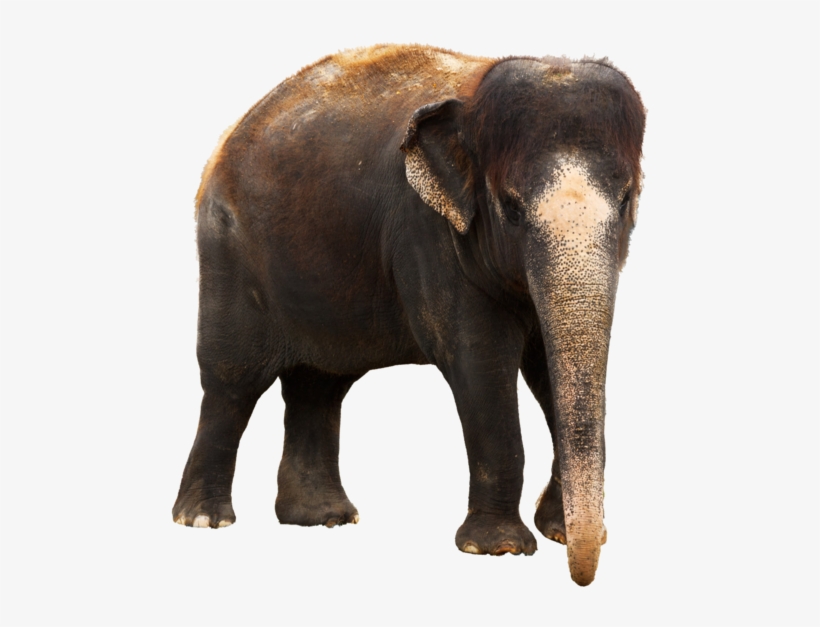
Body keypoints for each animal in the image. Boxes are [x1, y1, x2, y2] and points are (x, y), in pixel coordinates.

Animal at [173, 44, 646, 586]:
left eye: (626, 201)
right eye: (510, 208)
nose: (582, 575)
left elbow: (548, 369)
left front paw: (558, 533)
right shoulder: (428, 233)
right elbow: (479, 364)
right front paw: (499, 549)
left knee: (319, 385)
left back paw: (323, 518)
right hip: (227, 250)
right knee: (232, 381)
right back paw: (205, 520)